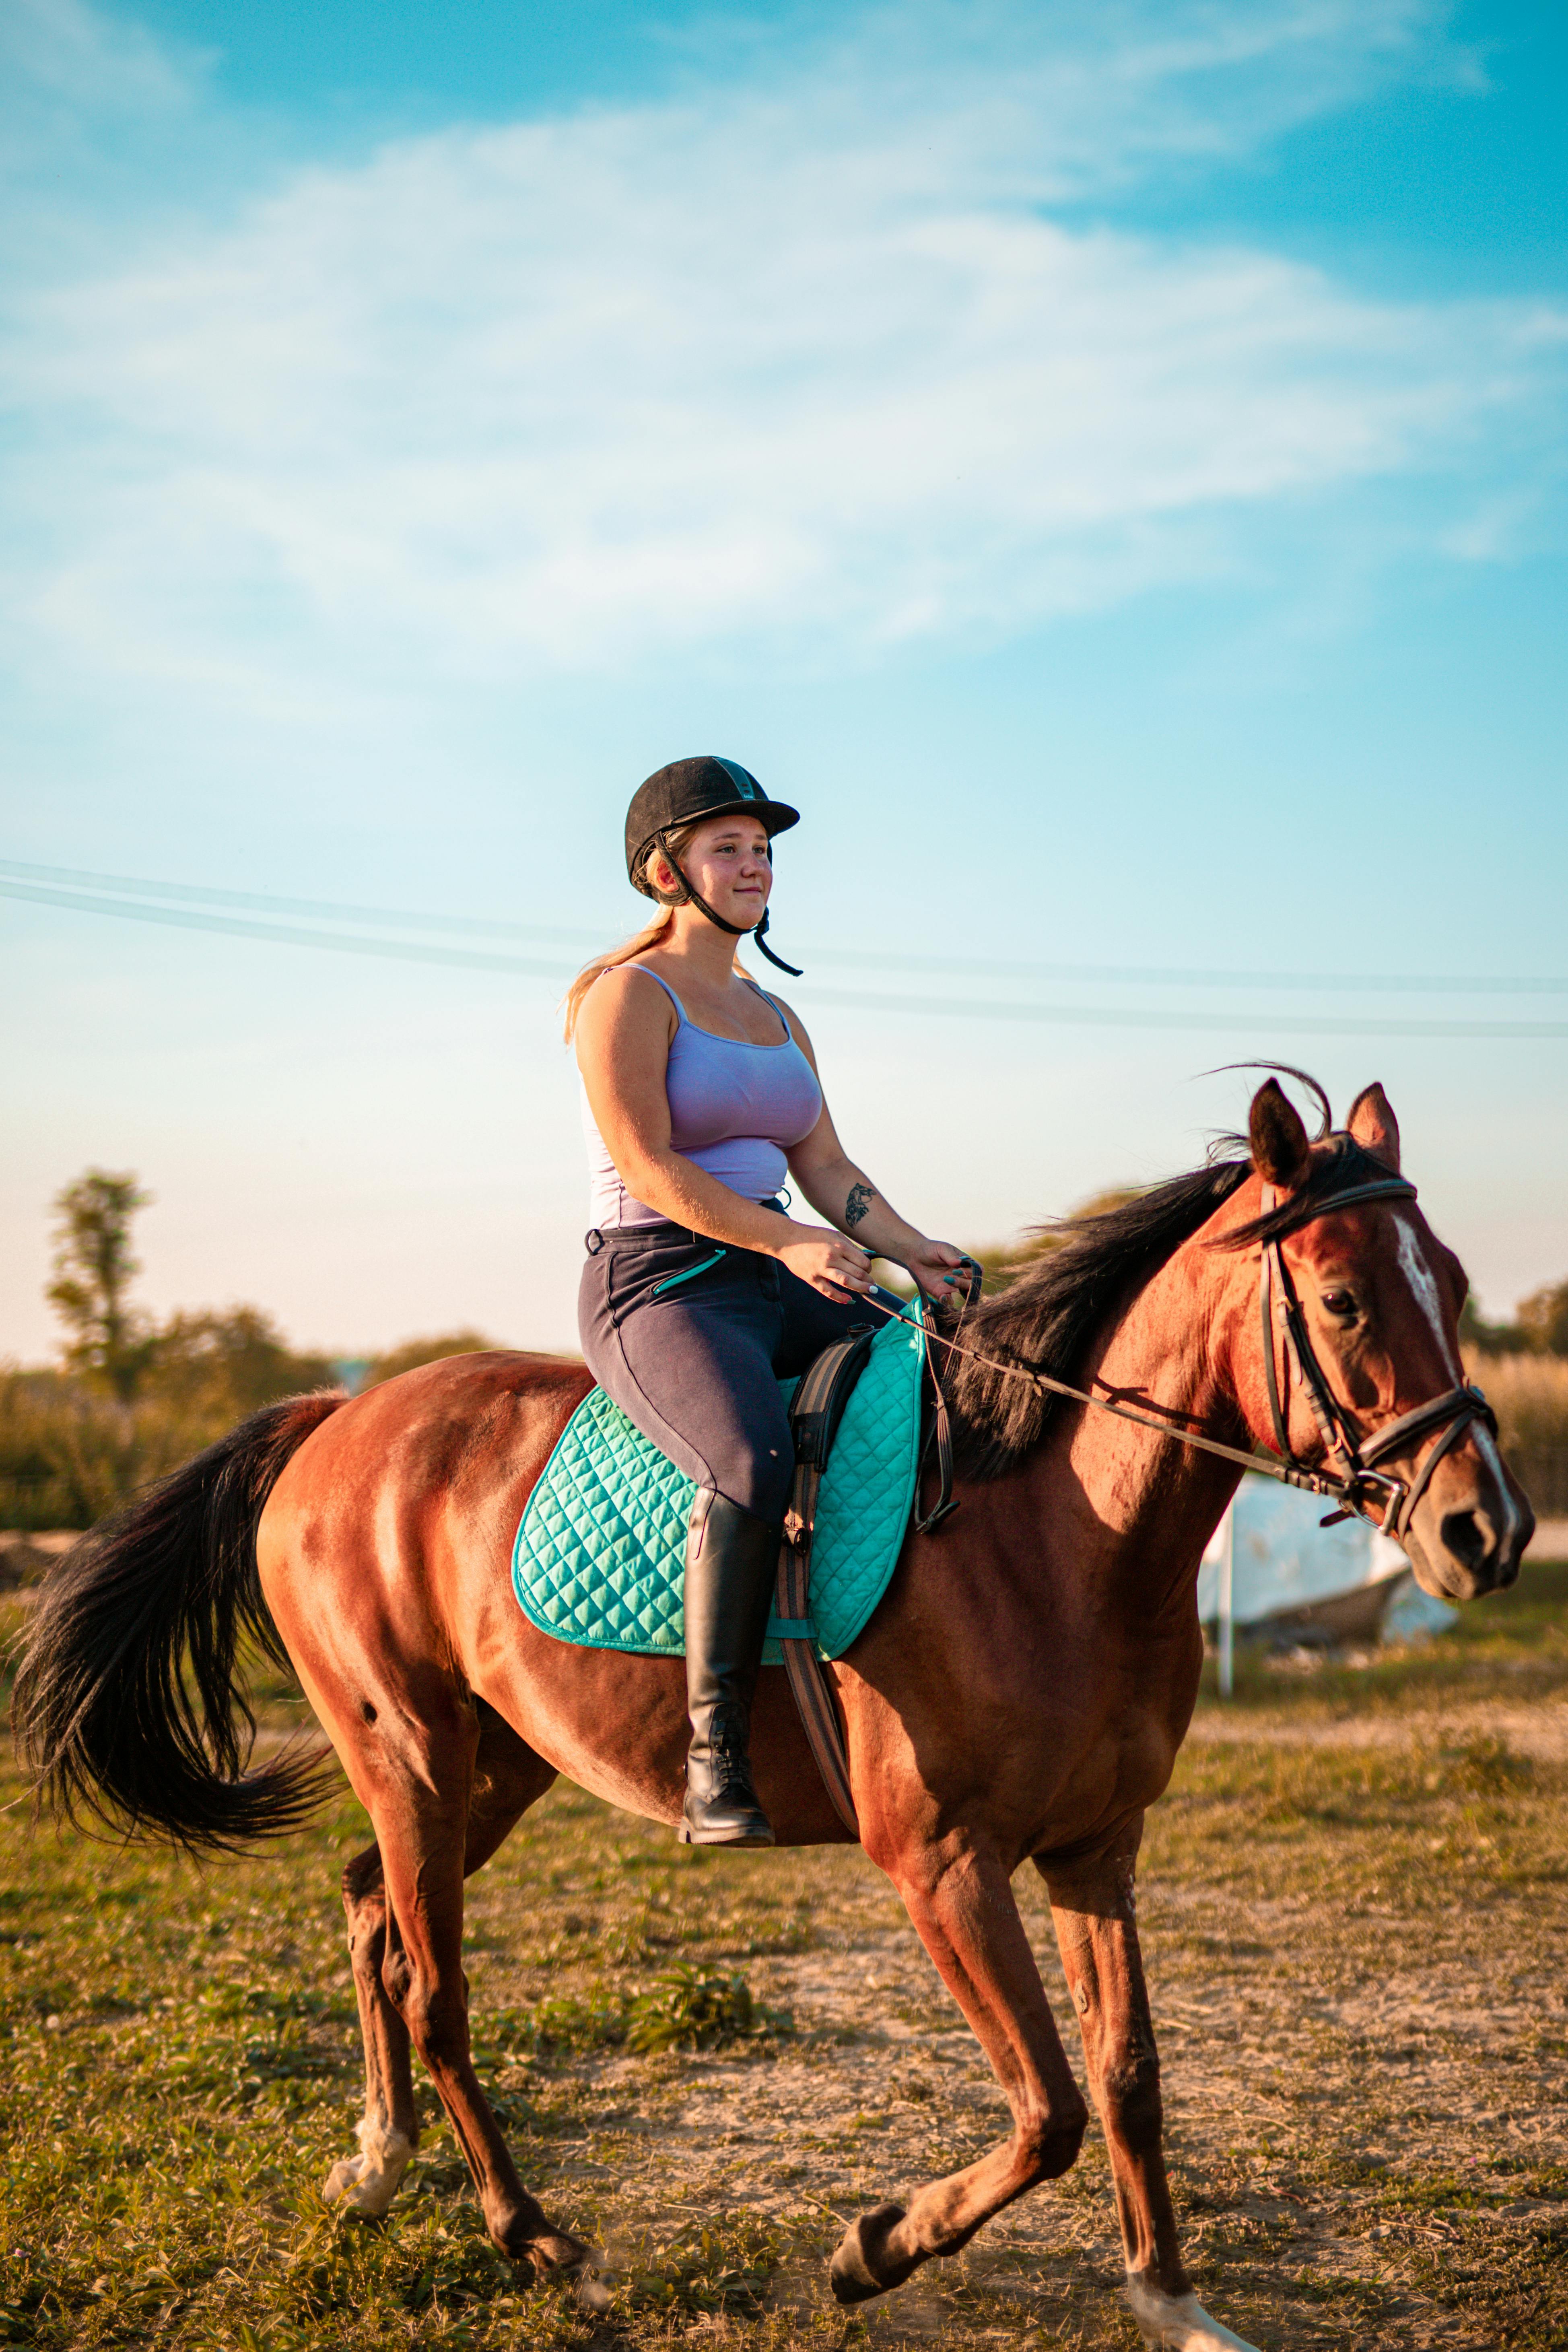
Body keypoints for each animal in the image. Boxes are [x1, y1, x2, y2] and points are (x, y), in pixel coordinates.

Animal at [13, 1075, 1534, 2352]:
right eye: (1341, 1299)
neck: (1052, 1526)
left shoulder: (1097, 1849)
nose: (1487, 1529)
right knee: (438, 1988)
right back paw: (536, 2238)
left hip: (491, 1764)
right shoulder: (942, 1864)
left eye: (1455, 1281)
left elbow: (1126, 2076)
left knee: (372, 1918)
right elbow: (1044, 2105)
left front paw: (1169, 2298)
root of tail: (334, 1419)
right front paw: (876, 2246)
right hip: (414, 1758)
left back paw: (379, 2166)